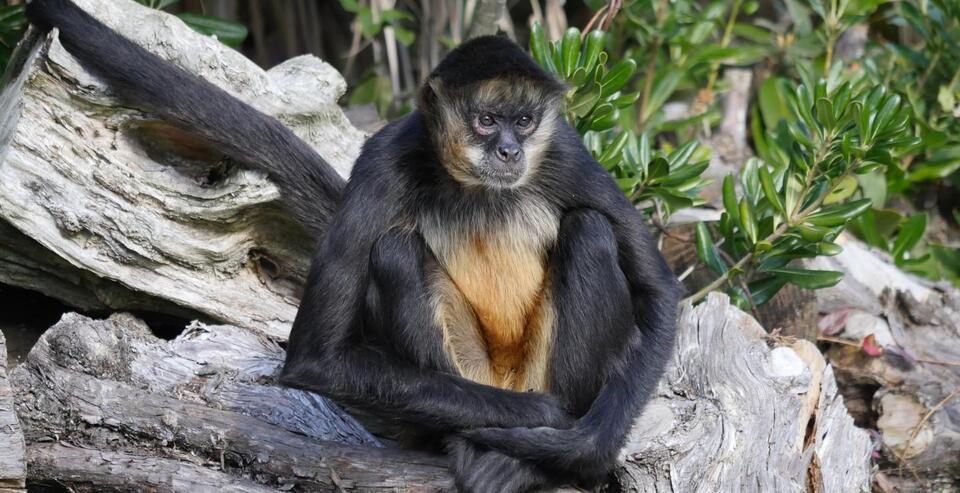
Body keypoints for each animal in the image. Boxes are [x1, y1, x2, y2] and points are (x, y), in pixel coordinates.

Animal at [25, 1, 682, 491]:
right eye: (485, 121)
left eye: (524, 122)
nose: (509, 151)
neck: (477, 187)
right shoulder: (385, 158)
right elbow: (316, 360)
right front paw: (540, 420)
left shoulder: (566, 152)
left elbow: (660, 291)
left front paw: (583, 446)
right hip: (472, 380)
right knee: (393, 252)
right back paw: (471, 442)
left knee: (590, 231)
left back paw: (532, 463)